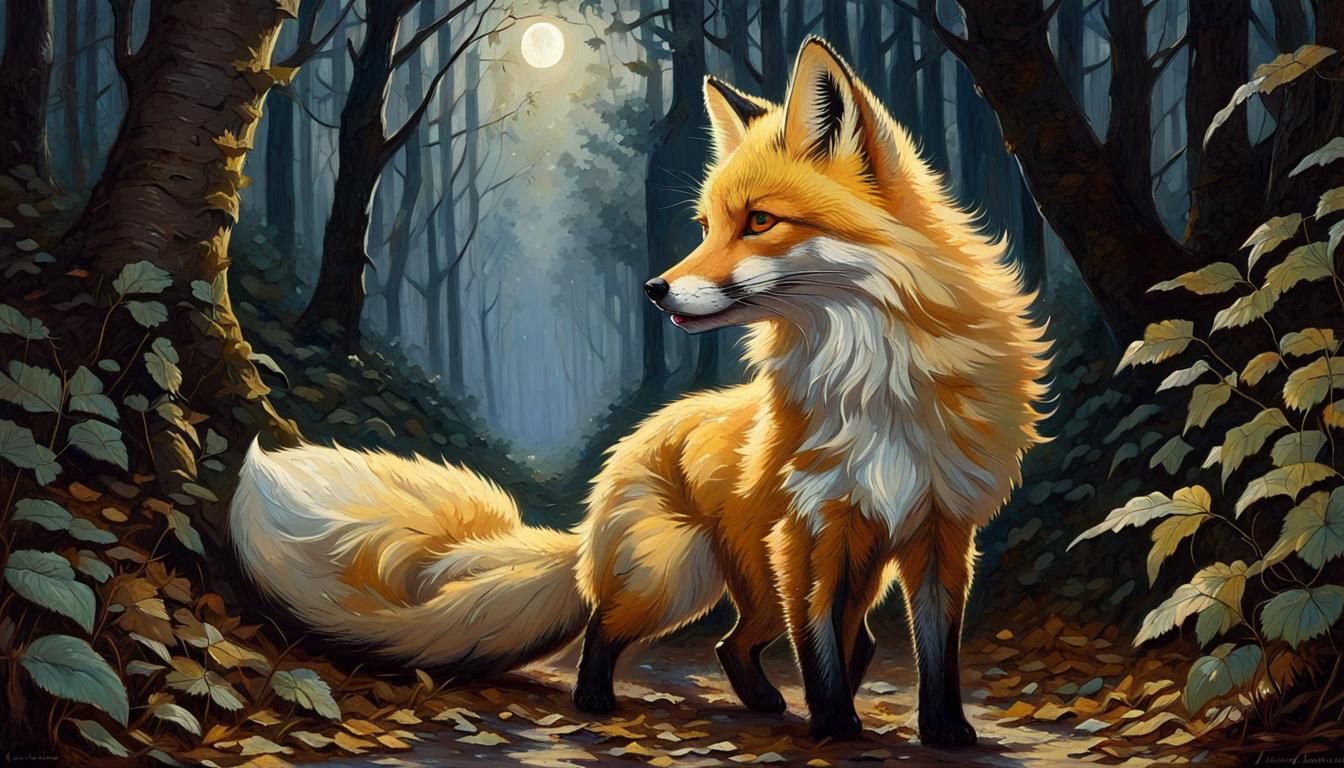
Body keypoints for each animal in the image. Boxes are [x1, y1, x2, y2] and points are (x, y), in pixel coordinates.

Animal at [229, 38, 1049, 745]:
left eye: (759, 221)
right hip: (679, 578)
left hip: (790, 580)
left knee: (752, 644)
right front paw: (835, 727)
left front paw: (943, 731)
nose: (655, 290)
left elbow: (933, 650)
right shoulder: (810, 527)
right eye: (708, 224)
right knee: (615, 627)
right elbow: (818, 647)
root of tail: (622, 457)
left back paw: (762, 701)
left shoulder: (940, 528)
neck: (875, 379)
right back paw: (598, 699)